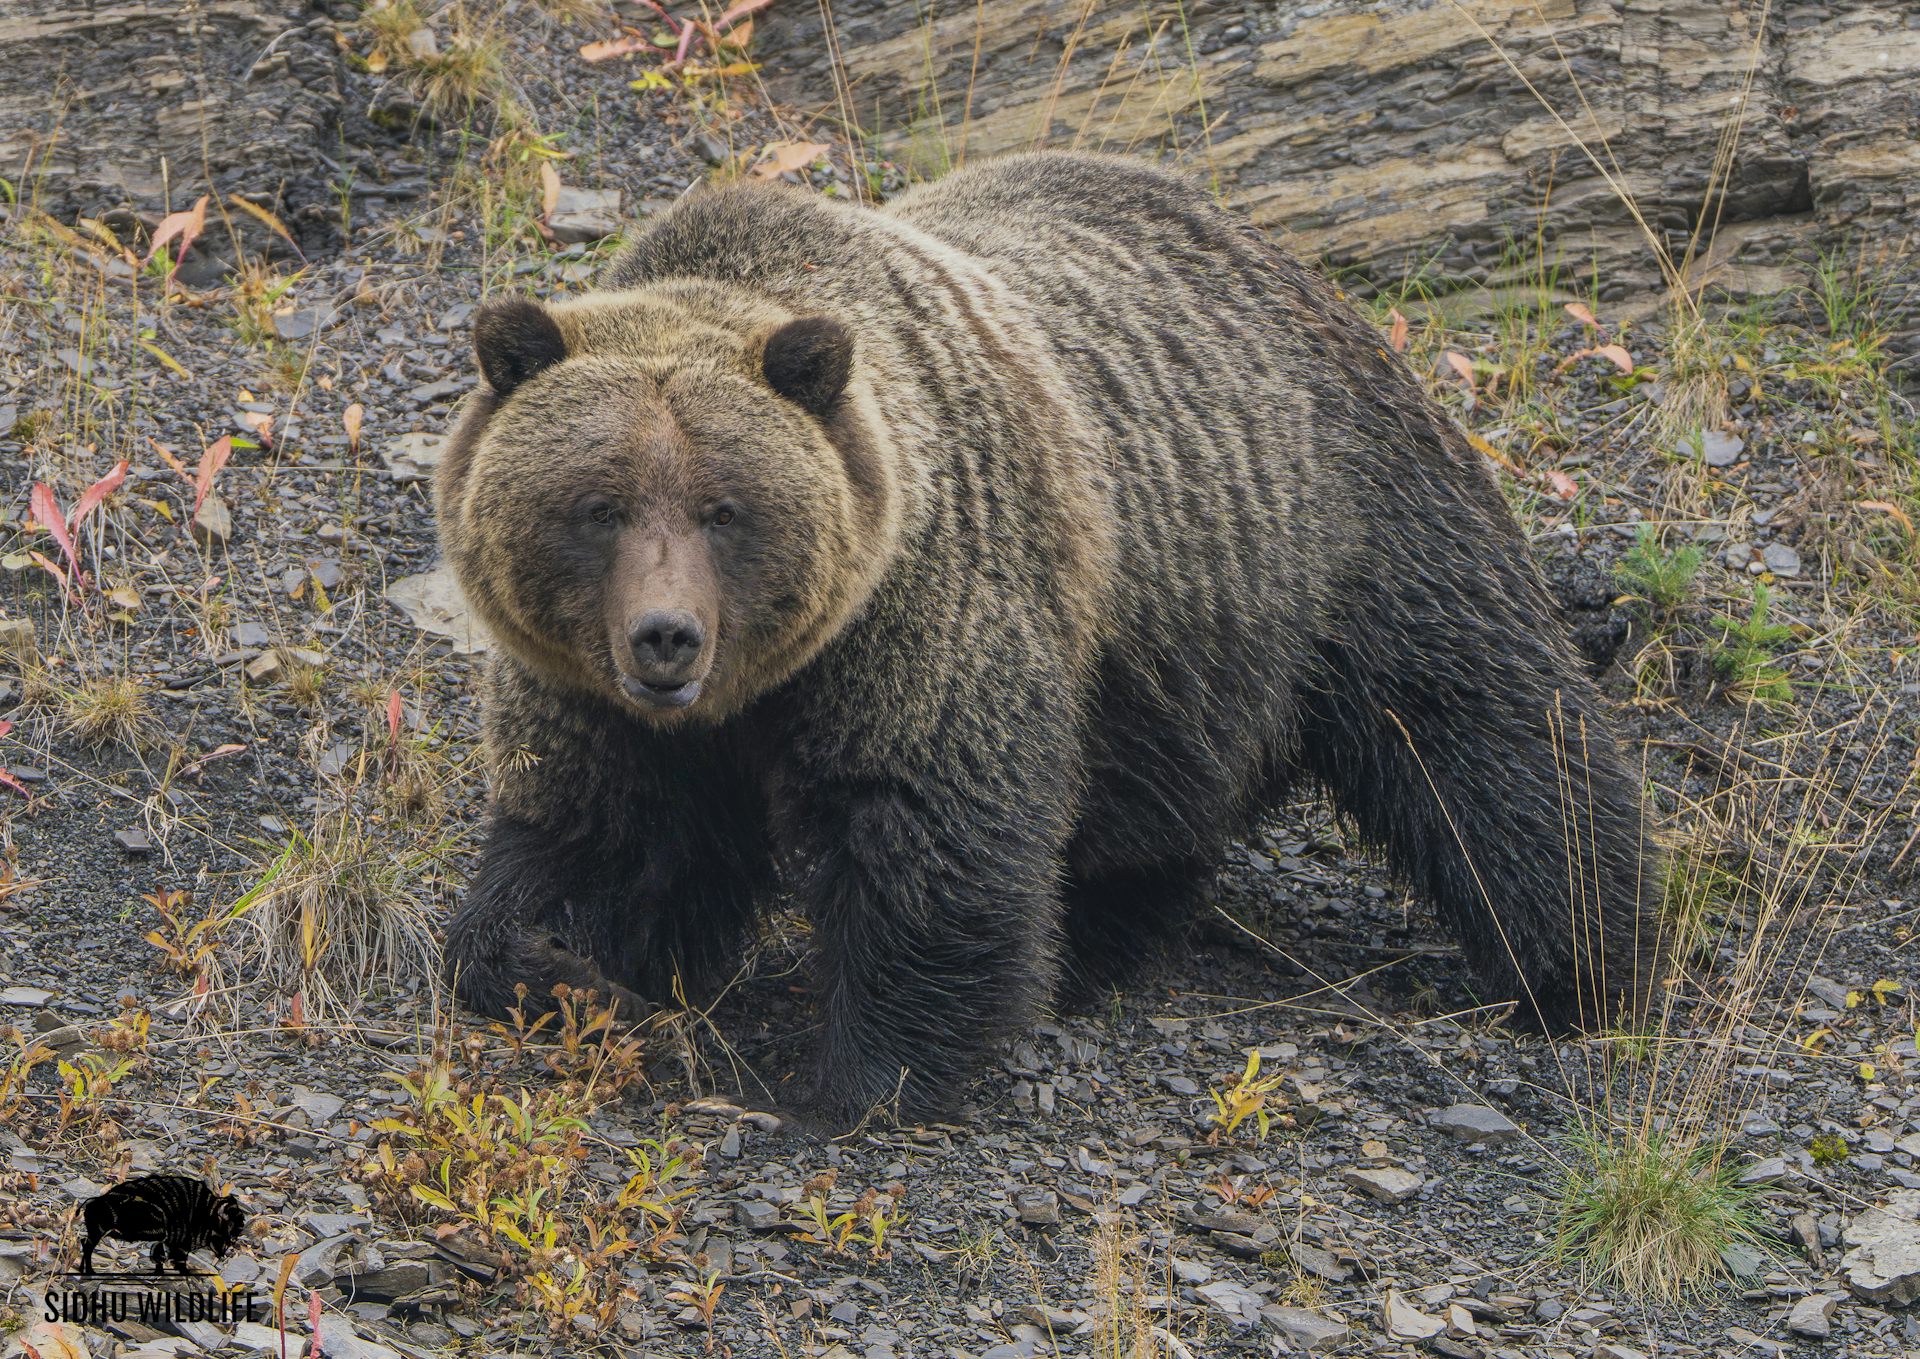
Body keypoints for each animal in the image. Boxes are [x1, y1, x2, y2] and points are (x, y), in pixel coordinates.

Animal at [436, 151, 1657, 1127]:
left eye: (725, 508)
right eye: (600, 504)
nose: (667, 639)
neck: (764, 688)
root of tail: (1289, 261)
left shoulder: (929, 609)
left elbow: (933, 837)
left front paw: (861, 1076)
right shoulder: (593, 693)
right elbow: (605, 839)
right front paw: (567, 969)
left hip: (1337, 532)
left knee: (1486, 737)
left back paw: (1581, 967)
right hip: (1164, 658)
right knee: (1148, 814)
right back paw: (1101, 939)